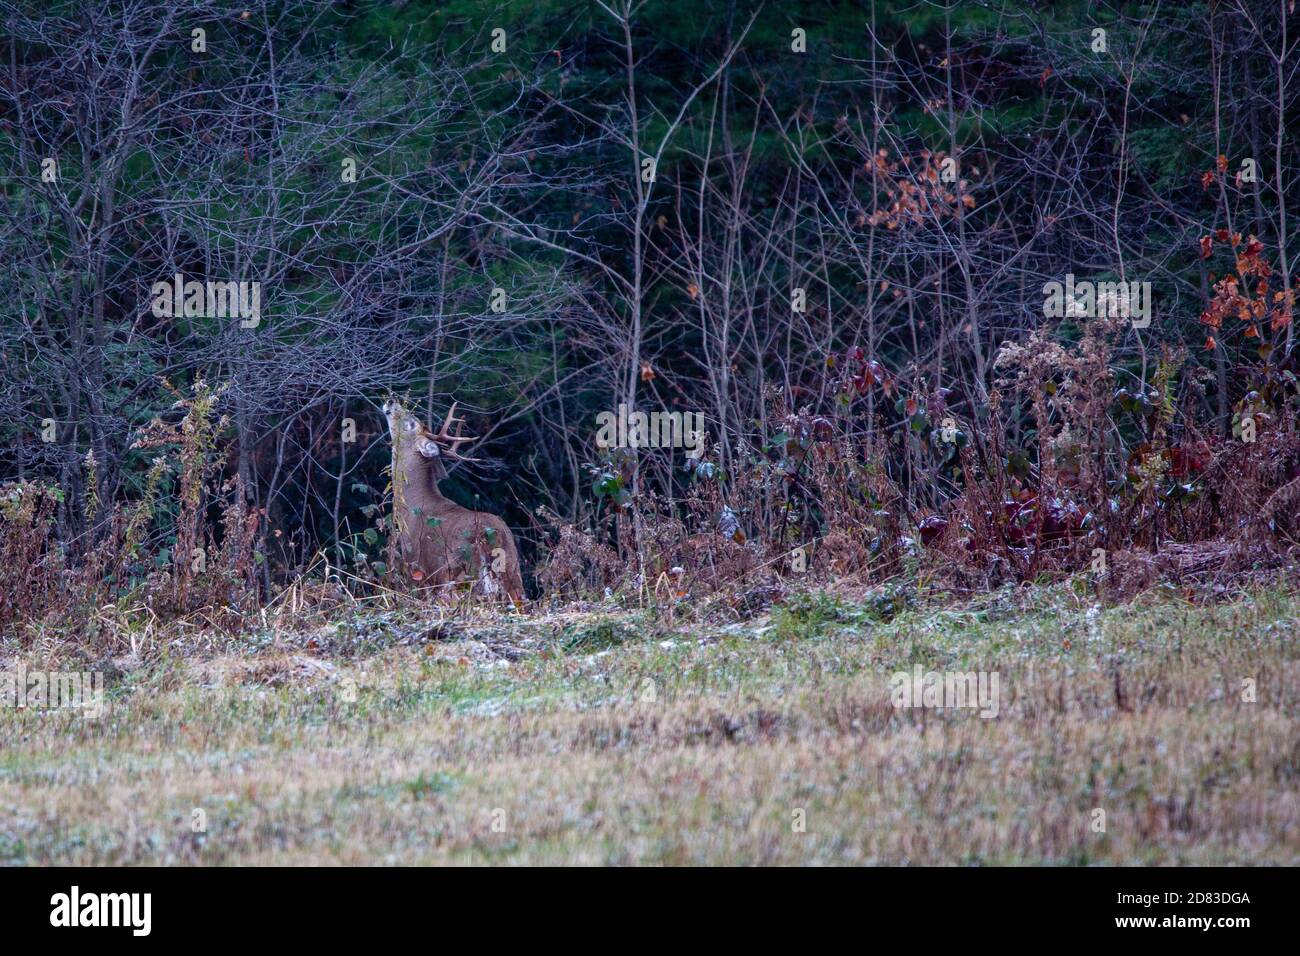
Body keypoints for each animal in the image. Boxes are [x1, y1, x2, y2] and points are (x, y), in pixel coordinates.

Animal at [381, 397, 524, 603]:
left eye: (412, 422)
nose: (391, 400)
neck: (412, 505)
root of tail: (492, 535)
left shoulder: (416, 566)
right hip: (513, 570)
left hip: (457, 573)